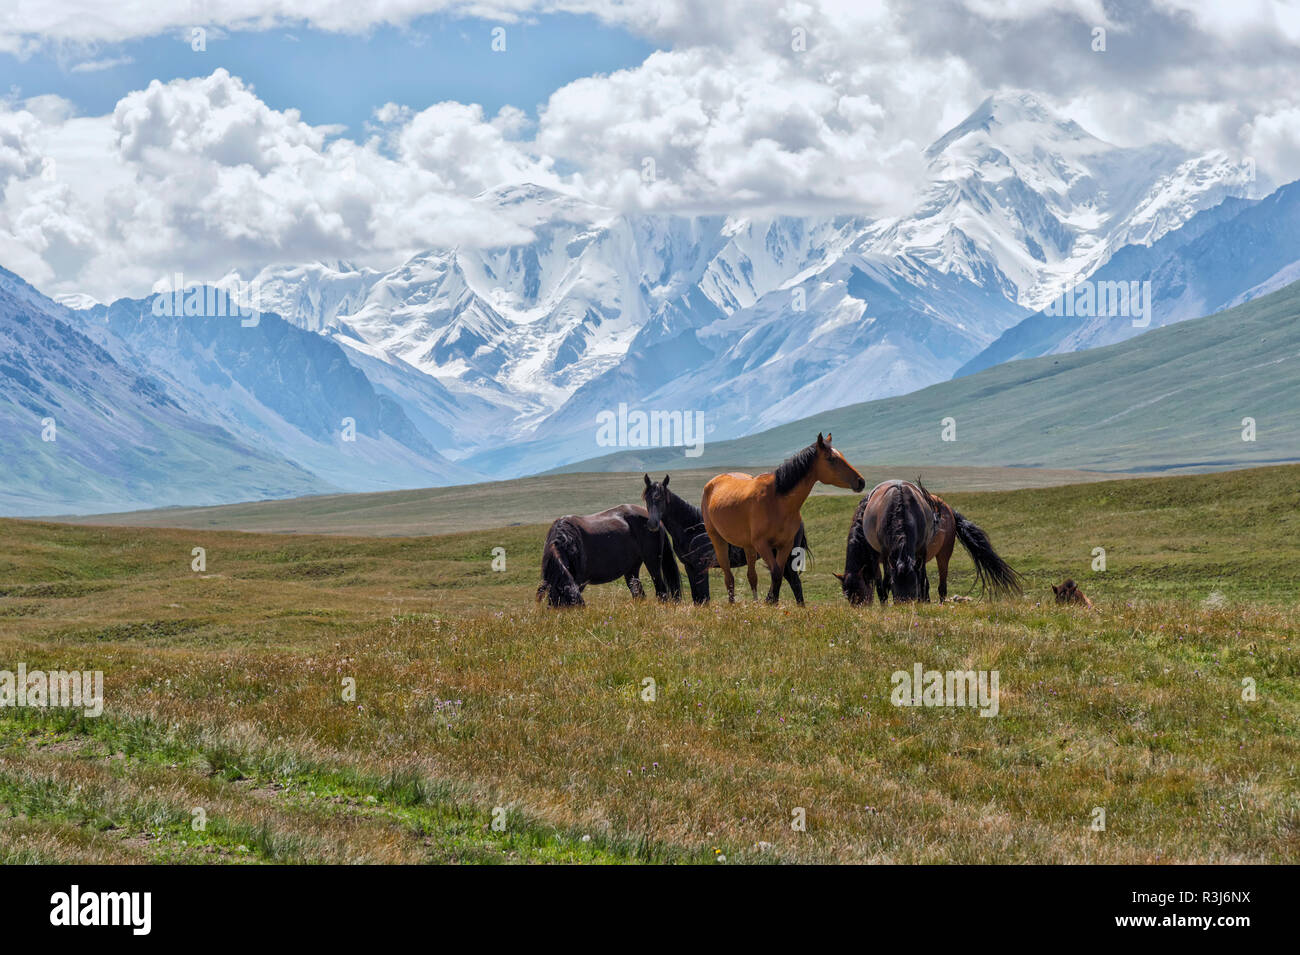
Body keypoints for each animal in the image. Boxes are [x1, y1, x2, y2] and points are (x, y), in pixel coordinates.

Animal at [642, 473, 811, 605]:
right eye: (646, 499)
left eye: (660, 498)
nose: (652, 524)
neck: (691, 527)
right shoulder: (690, 567)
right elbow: (697, 598)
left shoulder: (700, 567)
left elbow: (704, 598)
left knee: (794, 583)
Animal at [701, 433, 864, 604]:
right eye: (831, 459)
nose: (861, 481)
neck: (777, 501)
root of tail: (712, 483)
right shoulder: (762, 545)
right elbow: (775, 573)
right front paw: (771, 602)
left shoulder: (784, 545)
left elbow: (778, 576)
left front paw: (773, 603)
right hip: (718, 540)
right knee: (729, 577)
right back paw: (732, 604)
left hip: (748, 546)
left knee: (752, 576)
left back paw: (755, 603)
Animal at [837, 480, 1021, 604]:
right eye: (848, 596)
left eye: (859, 593)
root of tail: (948, 508)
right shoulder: (883, 556)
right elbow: (885, 584)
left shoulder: (918, 552)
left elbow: (915, 581)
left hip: (943, 554)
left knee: (941, 585)